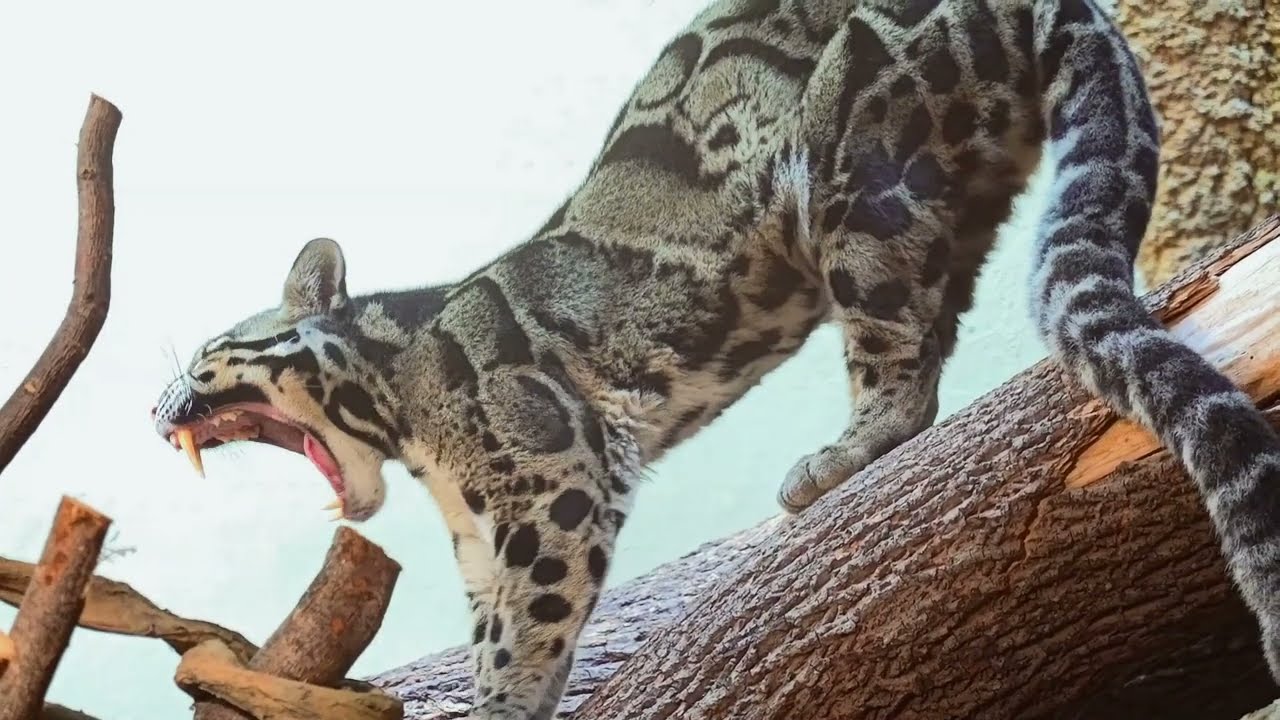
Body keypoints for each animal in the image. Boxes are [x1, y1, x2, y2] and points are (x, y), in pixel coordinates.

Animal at [151, 0, 1280, 717]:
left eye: (207, 351)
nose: (156, 410)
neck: (402, 409)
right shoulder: (480, 539)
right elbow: (490, 622)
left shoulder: (557, 475)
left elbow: (530, 622)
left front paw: (507, 700)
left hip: (850, 175)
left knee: (902, 364)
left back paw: (840, 454)